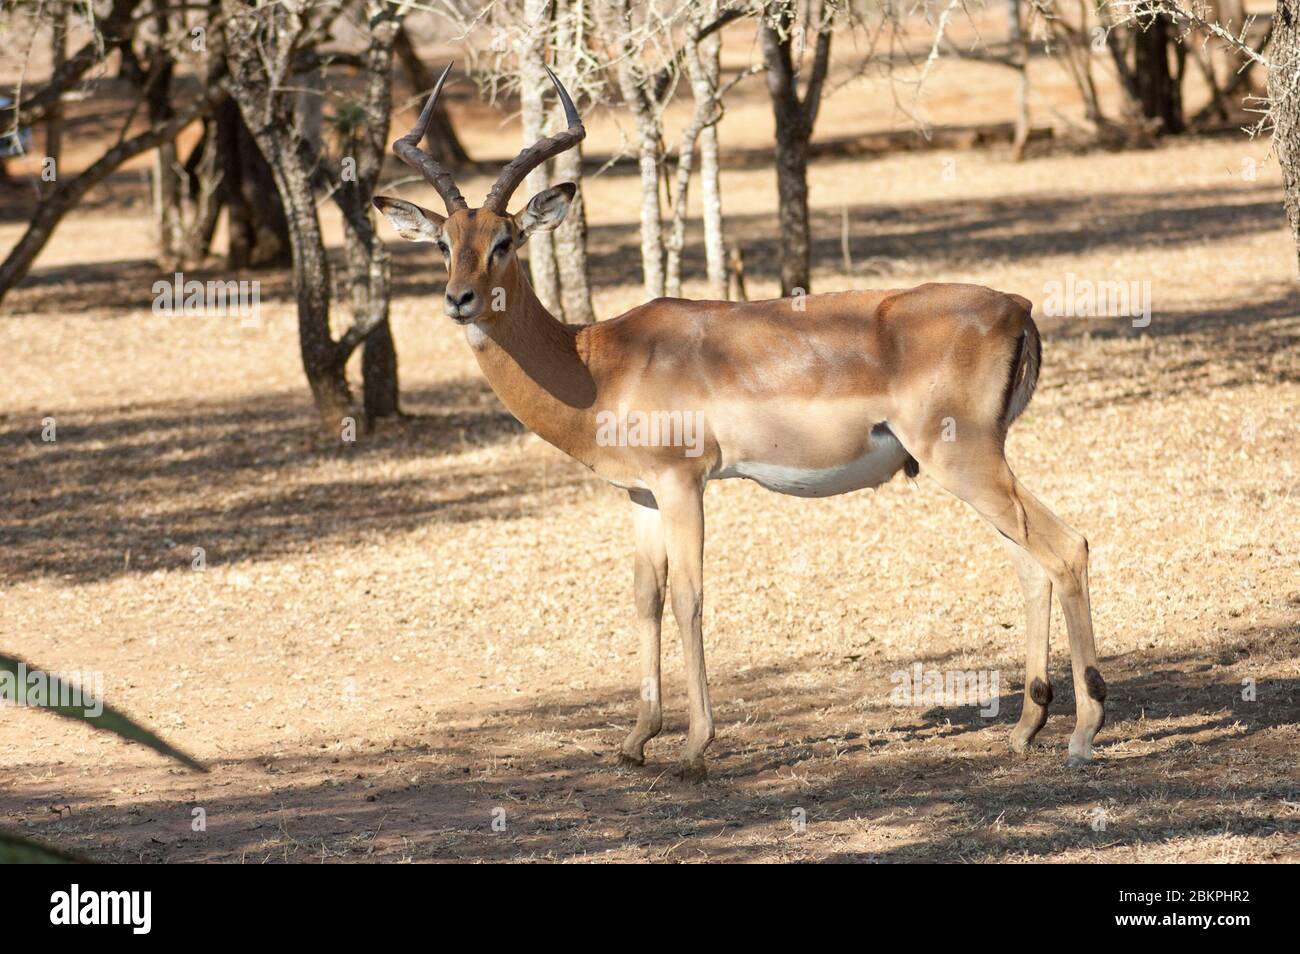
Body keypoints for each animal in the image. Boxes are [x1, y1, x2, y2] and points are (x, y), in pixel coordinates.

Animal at [373, 64, 1106, 782]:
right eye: (444, 243)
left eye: (504, 240)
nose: (459, 299)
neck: (596, 362)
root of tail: (1015, 305)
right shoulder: (641, 495)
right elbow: (645, 598)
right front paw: (636, 742)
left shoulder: (683, 483)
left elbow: (689, 598)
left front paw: (696, 748)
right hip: (973, 468)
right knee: (1030, 565)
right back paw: (1025, 728)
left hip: (966, 463)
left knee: (1068, 547)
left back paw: (1083, 731)